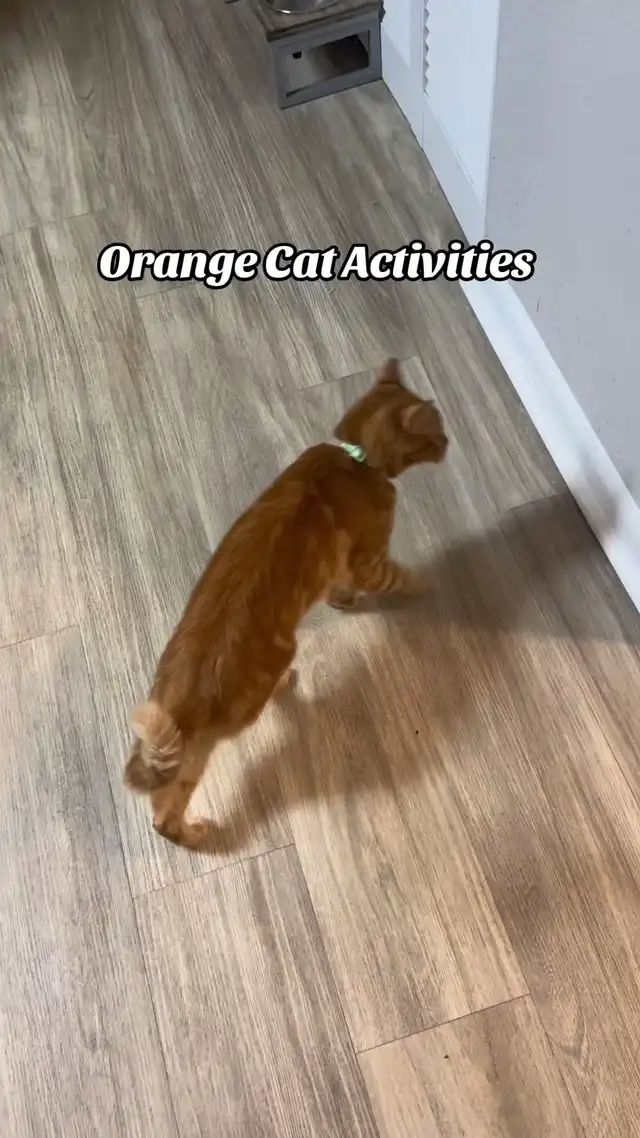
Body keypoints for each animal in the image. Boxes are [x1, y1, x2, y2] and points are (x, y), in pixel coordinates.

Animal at [124, 358, 448, 848]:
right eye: (439, 432)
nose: (450, 444)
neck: (357, 458)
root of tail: (181, 690)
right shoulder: (369, 561)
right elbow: (400, 577)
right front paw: (428, 583)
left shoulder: (343, 569)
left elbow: (340, 591)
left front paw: (345, 603)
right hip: (256, 689)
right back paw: (283, 684)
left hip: (189, 751)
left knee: (164, 811)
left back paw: (193, 833)